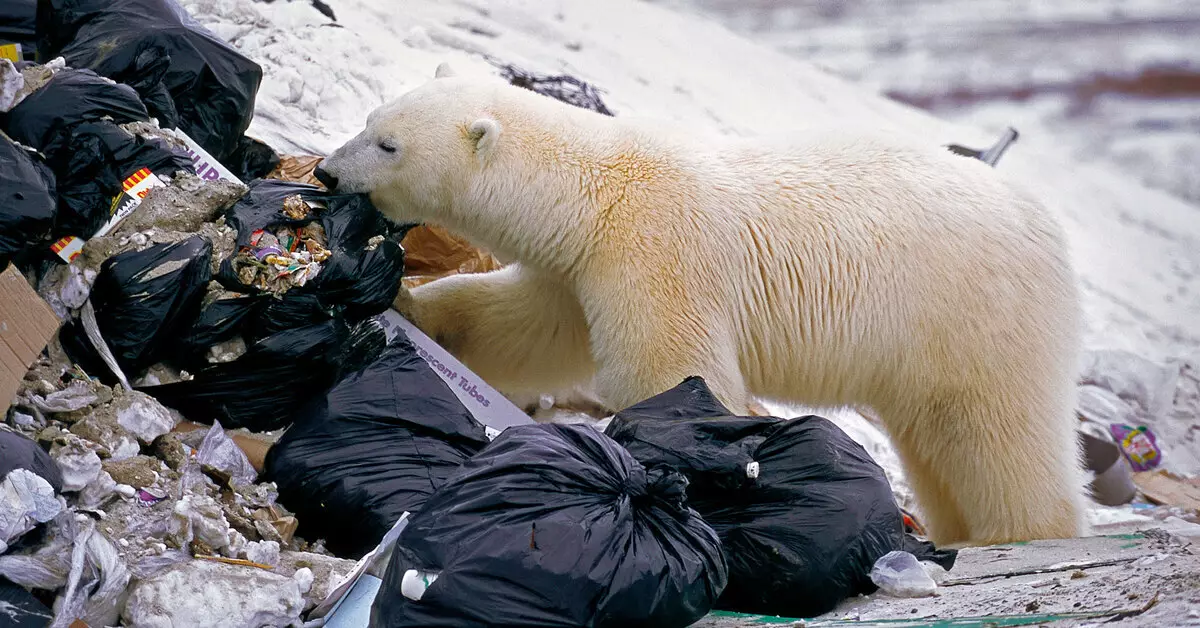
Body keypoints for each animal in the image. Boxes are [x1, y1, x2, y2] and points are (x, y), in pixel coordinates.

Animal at [316, 63, 1089, 545]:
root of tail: (1049, 227)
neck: (596, 190)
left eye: (387, 143)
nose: (325, 169)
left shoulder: (657, 251)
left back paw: (1018, 531)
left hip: (972, 309)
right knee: (932, 438)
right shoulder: (581, 271)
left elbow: (666, 368)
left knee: (991, 428)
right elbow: (523, 326)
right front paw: (411, 307)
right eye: (370, 118)